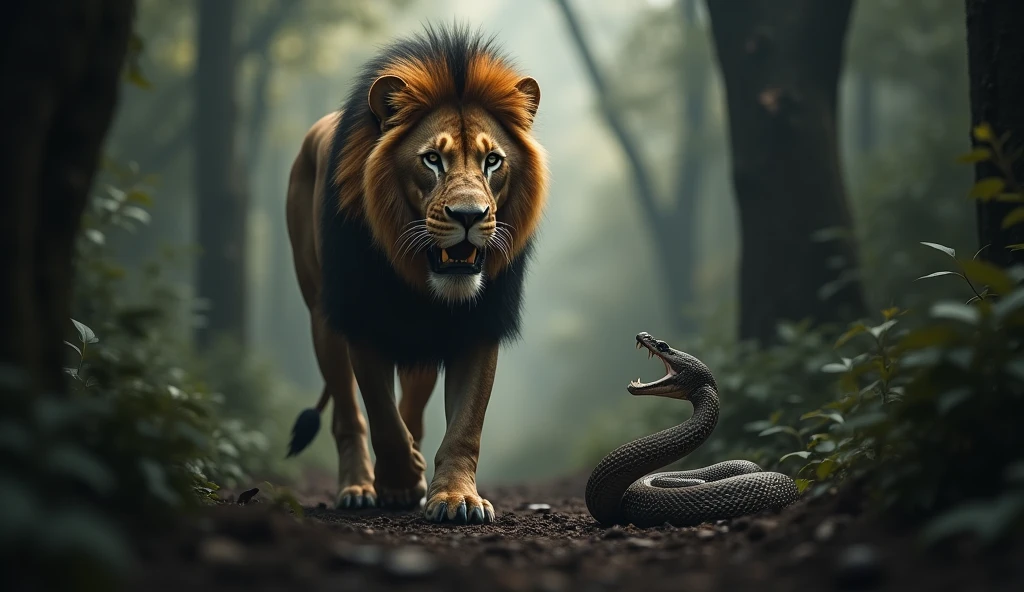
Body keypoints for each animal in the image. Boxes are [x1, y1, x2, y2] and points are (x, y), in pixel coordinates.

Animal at [283, 24, 548, 524]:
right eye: (432, 160)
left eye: (492, 161)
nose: (469, 215)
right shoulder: (361, 320)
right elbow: (382, 418)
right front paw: (401, 481)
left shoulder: (480, 323)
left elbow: (465, 425)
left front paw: (456, 497)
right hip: (322, 318)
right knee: (348, 415)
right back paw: (360, 487)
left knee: (413, 412)